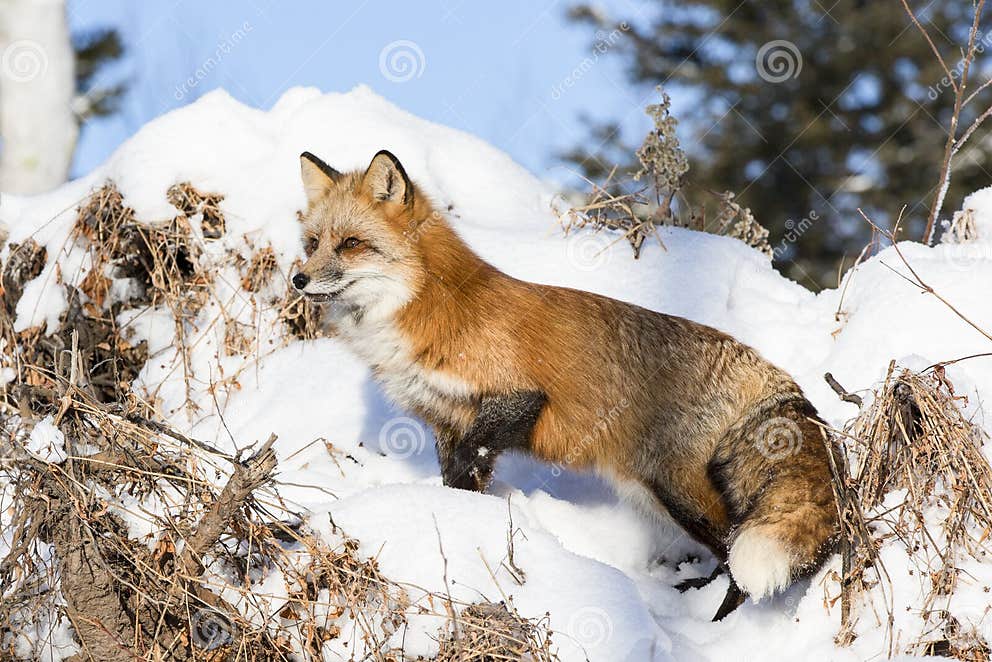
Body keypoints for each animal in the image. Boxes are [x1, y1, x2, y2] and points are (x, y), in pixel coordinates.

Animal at [291, 149, 839, 619]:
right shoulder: (446, 421)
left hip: (675, 491)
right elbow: (458, 480)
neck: (434, 309)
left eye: (351, 244)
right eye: (313, 244)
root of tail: (761, 365)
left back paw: (719, 622)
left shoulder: (516, 398)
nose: (298, 279)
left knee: (732, 552)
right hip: (651, 491)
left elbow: (475, 459)